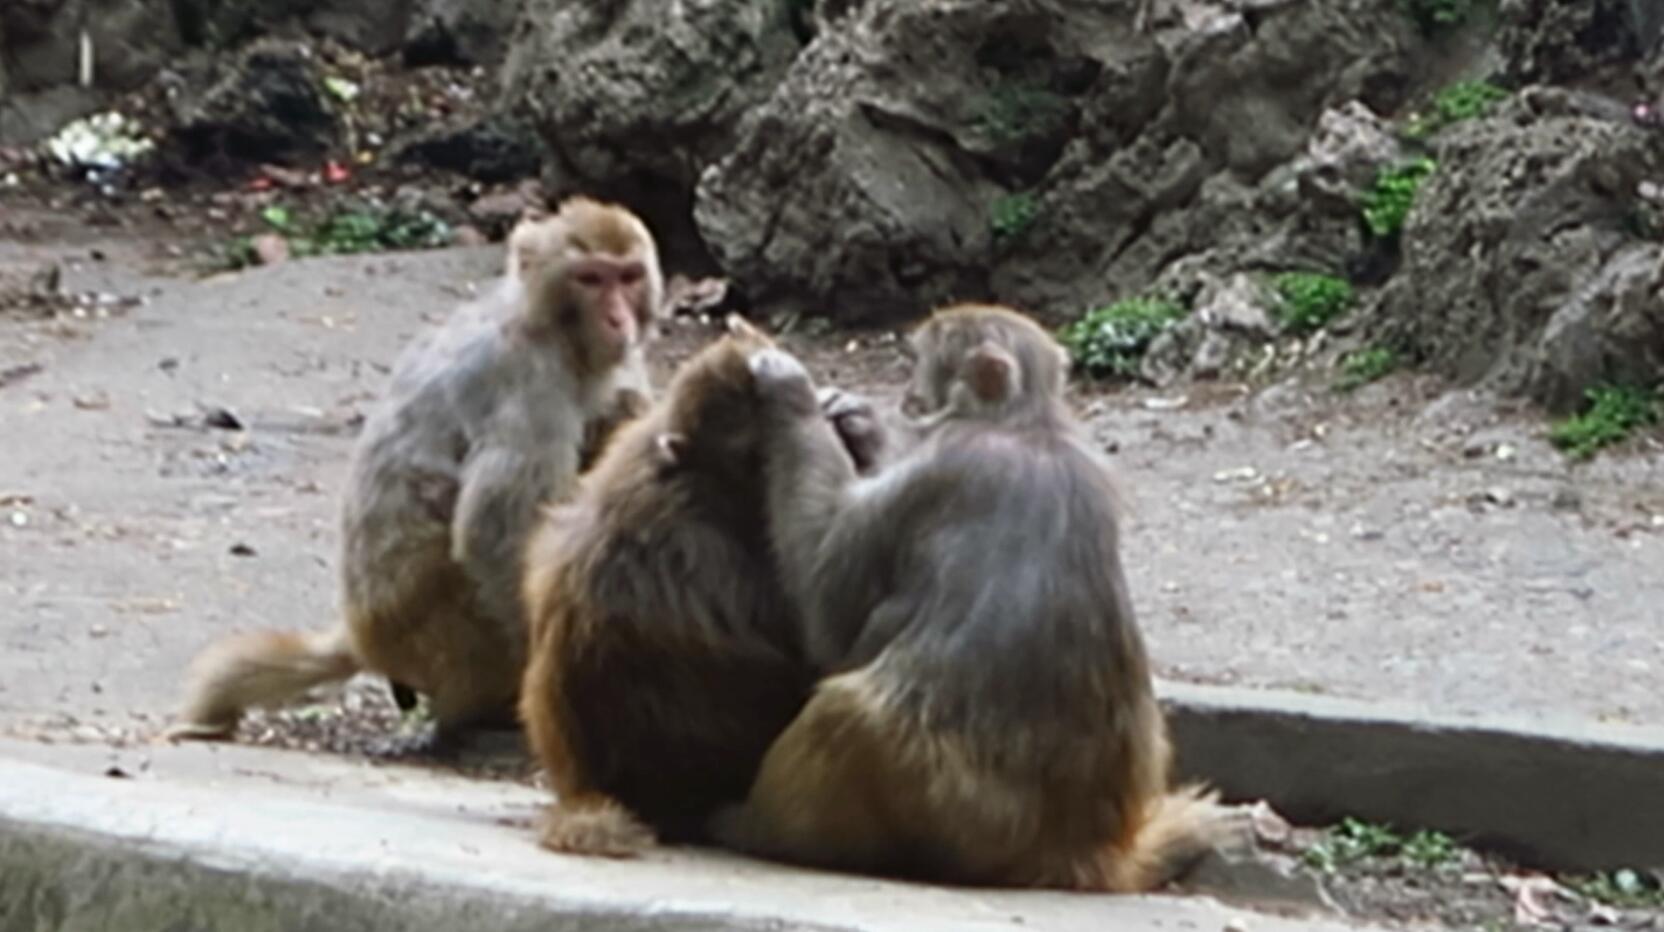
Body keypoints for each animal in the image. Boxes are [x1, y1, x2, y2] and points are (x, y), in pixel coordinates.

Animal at [164, 196, 664, 750]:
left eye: (629, 277)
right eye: (591, 278)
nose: (618, 319)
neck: (552, 330)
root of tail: (365, 637)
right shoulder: (528, 381)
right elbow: (494, 532)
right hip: (443, 636)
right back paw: (477, 714)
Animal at [710, 302, 1235, 891]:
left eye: (921, 359)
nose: (907, 393)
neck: (1024, 423)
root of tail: (1075, 853)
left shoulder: (937, 468)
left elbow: (829, 611)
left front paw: (791, 391)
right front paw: (862, 425)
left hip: (951, 812)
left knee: (848, 712)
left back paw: (757, 829)